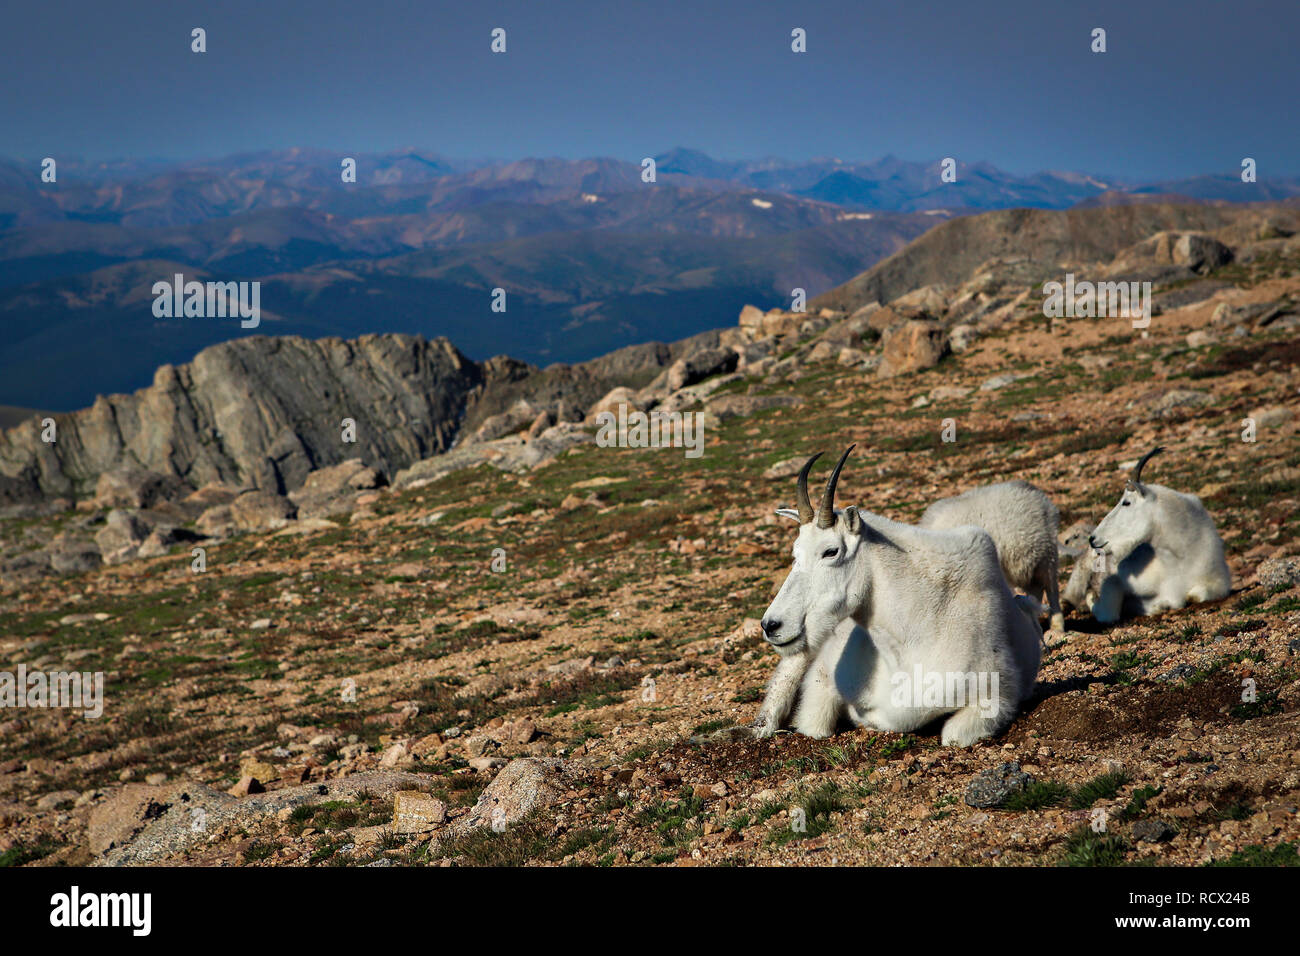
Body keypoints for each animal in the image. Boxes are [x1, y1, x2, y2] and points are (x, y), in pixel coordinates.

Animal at [753, 446, 1042, 747]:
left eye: (830, 551)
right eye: (795, 552)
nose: (772, 625)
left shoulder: (997, 694)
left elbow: (952, 736)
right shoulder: (823, 680)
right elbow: (816, 725)